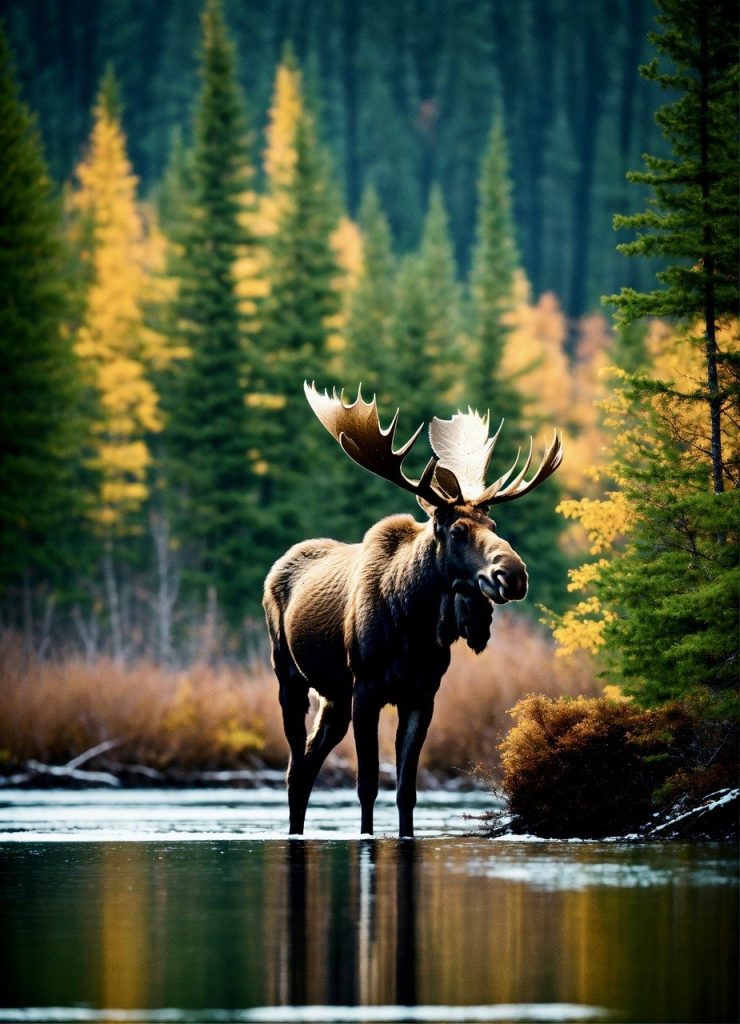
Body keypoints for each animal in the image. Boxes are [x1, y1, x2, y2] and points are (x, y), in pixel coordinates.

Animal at [263, 382, 563, 837]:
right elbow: (367, 785)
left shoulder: (422, 693)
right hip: (291, 677)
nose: (513, 574)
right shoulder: (367, 689)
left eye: (494, 527)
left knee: (307, 768)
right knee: (295, 769)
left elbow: (407, 790)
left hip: (334, 698)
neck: (413, 628)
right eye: (457, 530)